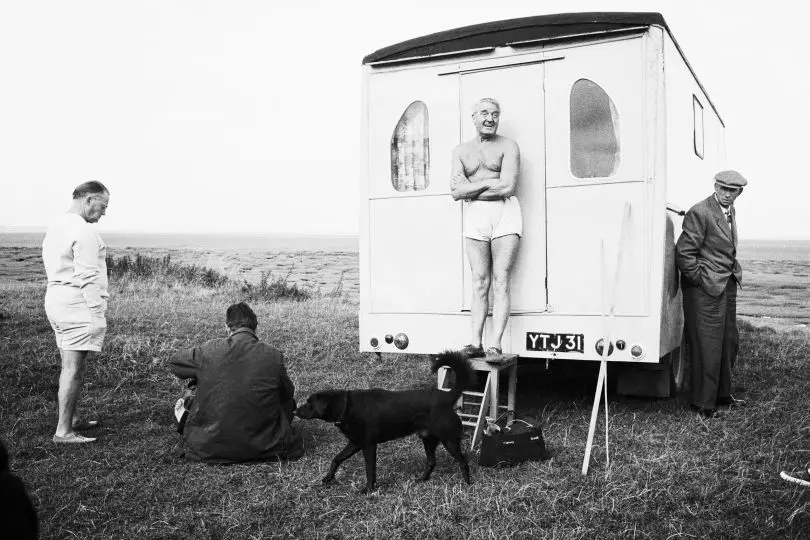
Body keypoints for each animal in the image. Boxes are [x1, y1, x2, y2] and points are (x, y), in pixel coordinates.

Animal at [296, 350, 474, 494]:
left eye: (309, 404)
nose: (294, 411)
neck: (347, 406)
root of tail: (446, 397)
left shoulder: (368, 446)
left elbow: (369, 470)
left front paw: (368, 490)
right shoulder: (355, 443)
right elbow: (337, 459)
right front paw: (328, 478)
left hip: (449, 441)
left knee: (463, 461)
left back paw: (467, 483)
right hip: (428, 439)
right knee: (432, 462)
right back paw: (421, 480)